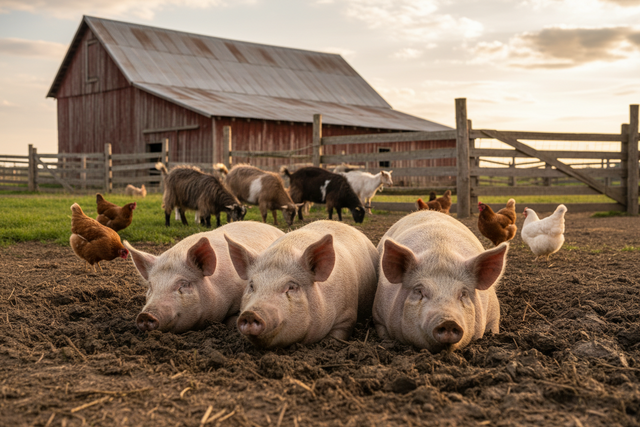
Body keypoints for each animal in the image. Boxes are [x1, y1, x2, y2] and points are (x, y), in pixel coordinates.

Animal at [373, 210, 508, 353]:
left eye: (463, 294)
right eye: (419, 291)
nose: (448, 322)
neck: (441, 250)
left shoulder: (494, 316)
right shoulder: (378, 317)